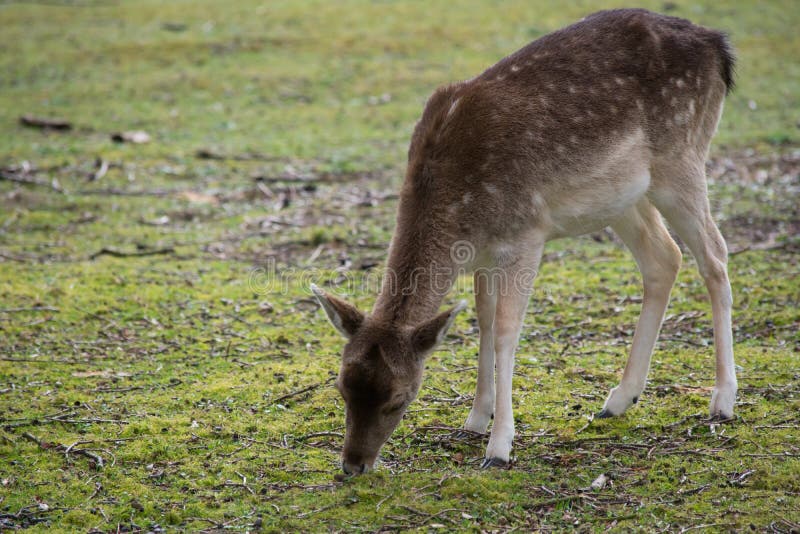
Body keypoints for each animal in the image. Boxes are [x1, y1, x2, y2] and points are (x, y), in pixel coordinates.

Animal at [311, 8, 737, 475]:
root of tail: (718, 46)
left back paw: (722, 400)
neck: (459, 210)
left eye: (398, 399)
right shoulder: (481, 253)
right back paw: (619, 399)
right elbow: (483, 320)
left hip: (681, 156)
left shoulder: (526, 234)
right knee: (664, 258)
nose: (353, 464)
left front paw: (499, 446)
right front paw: (476, 419)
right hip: (623, 197)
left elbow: (505, 331)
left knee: (715, 254)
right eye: (341, 387)